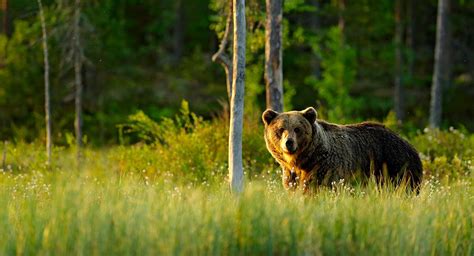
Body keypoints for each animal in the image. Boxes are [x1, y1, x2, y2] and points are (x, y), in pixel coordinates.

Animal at [262, 106, 422, 192]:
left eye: (297, 129)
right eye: (281, 129)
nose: (289, 143)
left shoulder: (325, 167)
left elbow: (316, 187)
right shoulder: (291, 174)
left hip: (395, 165)